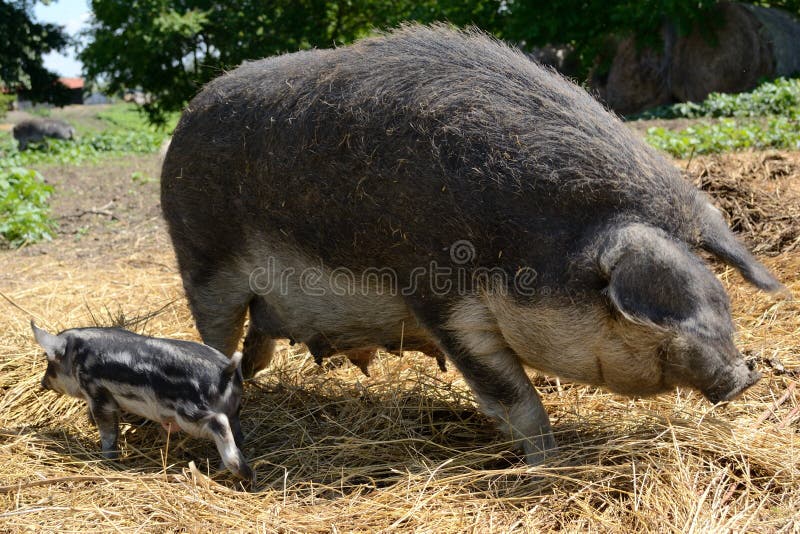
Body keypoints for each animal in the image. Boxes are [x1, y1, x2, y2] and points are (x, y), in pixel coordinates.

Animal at [31, 322, 253, 481]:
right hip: (233, 410)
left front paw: (106, 459)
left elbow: (108, 431)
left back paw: (243, 474)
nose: (43, 382)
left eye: (50, 362)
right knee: (239, 435)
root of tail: (225, 372)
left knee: (219, 423)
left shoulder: (98, 393)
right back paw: (225, 471)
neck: (76, 356)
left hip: (190, 414)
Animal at [160, 24, 786, 465]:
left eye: (718, 296)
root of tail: (188, 114)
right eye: (638, 311)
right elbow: (514, 399)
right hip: (202, 263)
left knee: (257, 345)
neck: (523, 243)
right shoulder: (442, 302)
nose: (744, 377)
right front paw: (548, 465)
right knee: (215, 335)